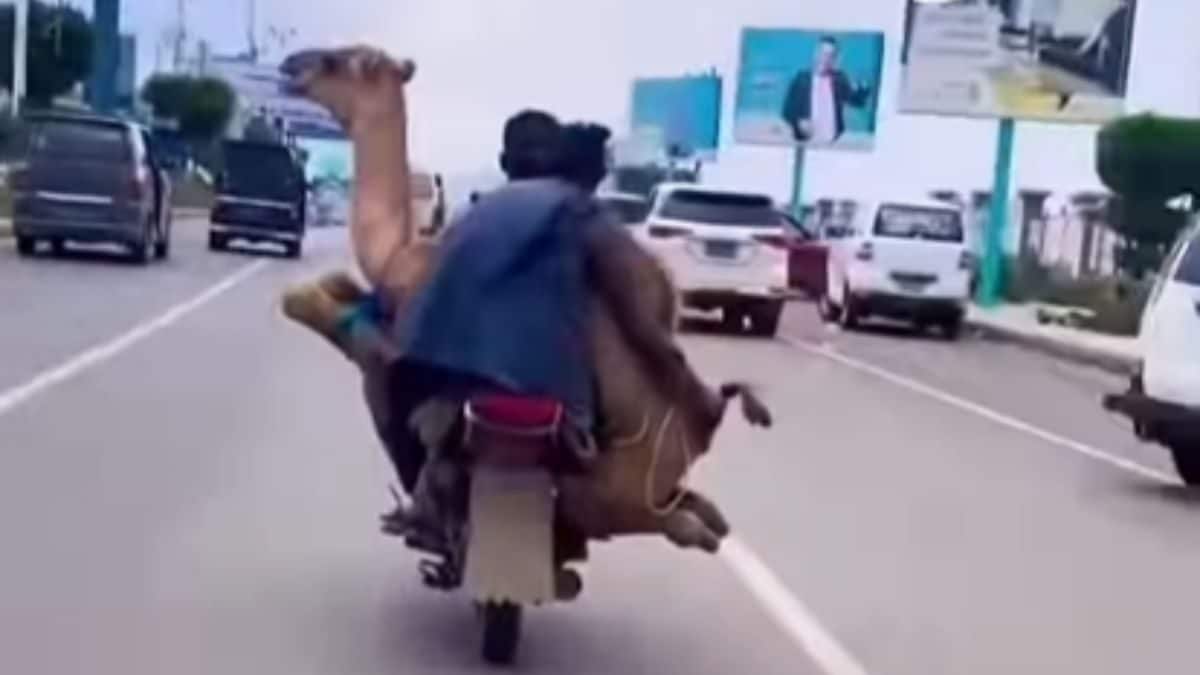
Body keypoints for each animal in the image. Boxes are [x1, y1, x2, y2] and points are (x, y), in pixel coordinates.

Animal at [277, 45, 771, 553]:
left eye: (342, 62)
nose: (292, 67)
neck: (398, 253)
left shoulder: (408, 327)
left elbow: (322, 313)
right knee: (700, 519)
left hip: (608, 493)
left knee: (672, 523)